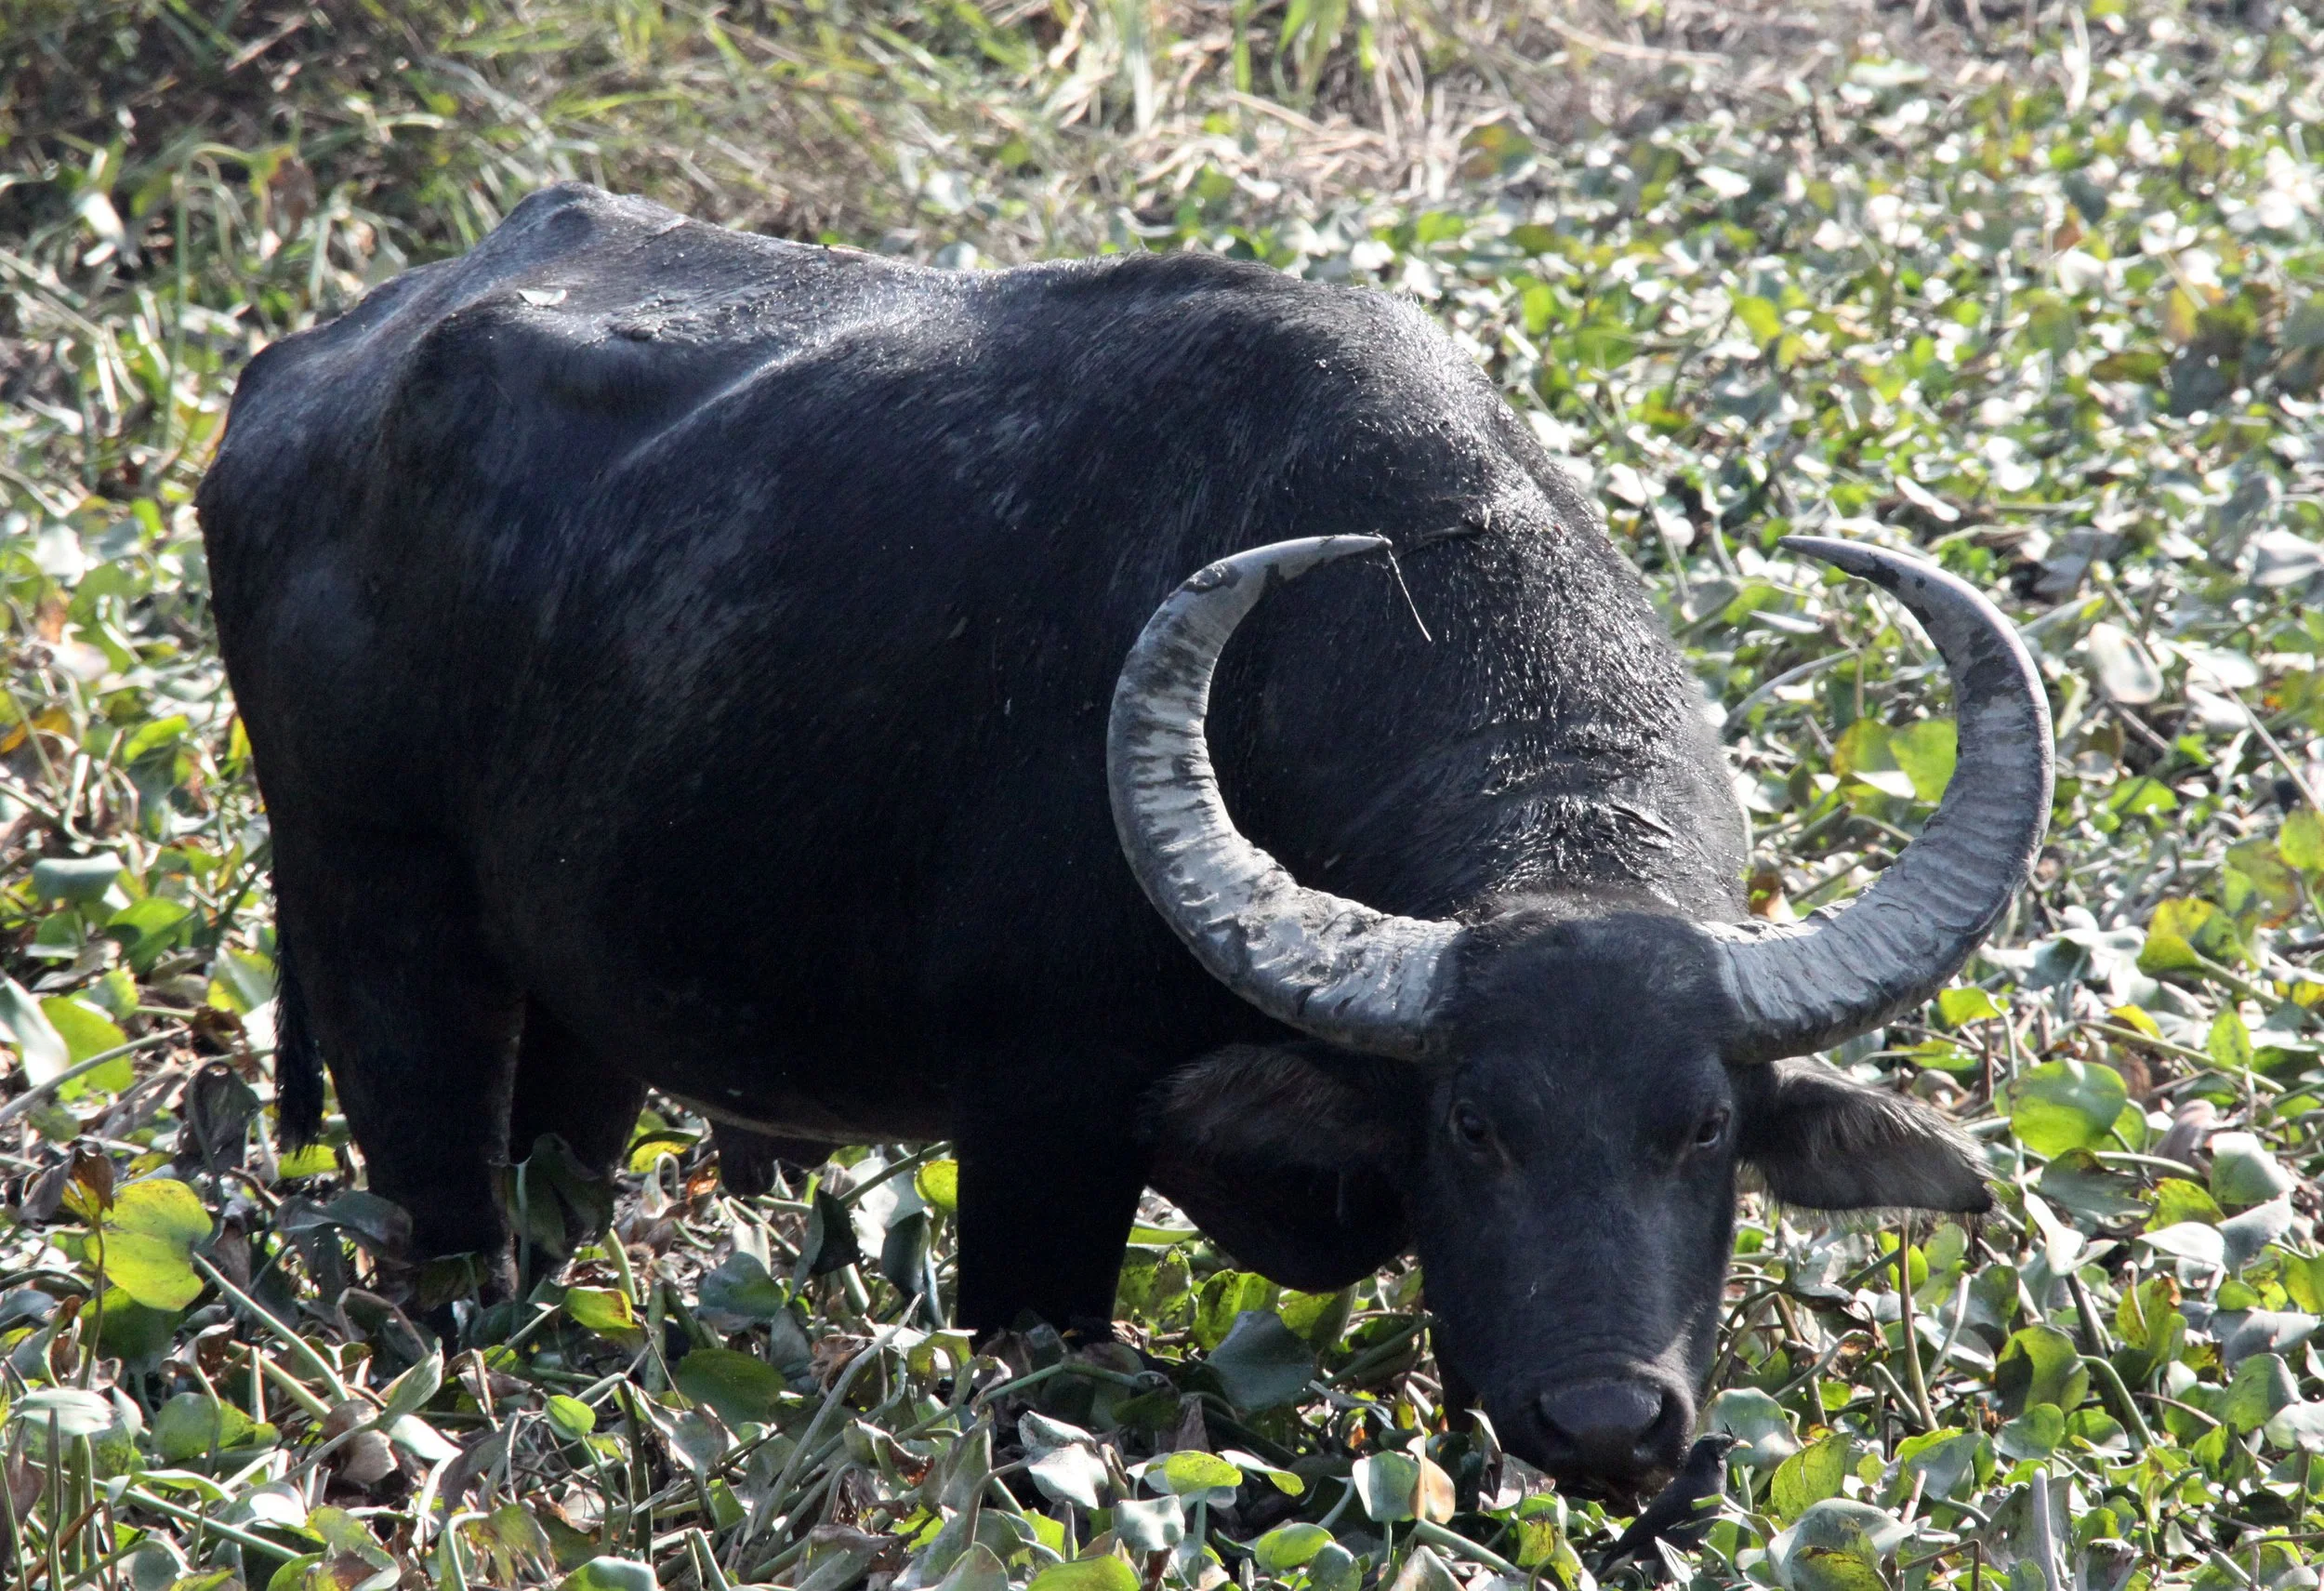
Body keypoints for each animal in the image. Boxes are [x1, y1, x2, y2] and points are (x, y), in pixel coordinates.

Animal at [198, 182, 2050, 1487]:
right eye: (1476, 1124)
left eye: (1703, 1130)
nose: (1605, 1420)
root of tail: (303, 382)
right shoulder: (1040, 1127)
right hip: (378, 906)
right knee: (442, 1203)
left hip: (580, 998)